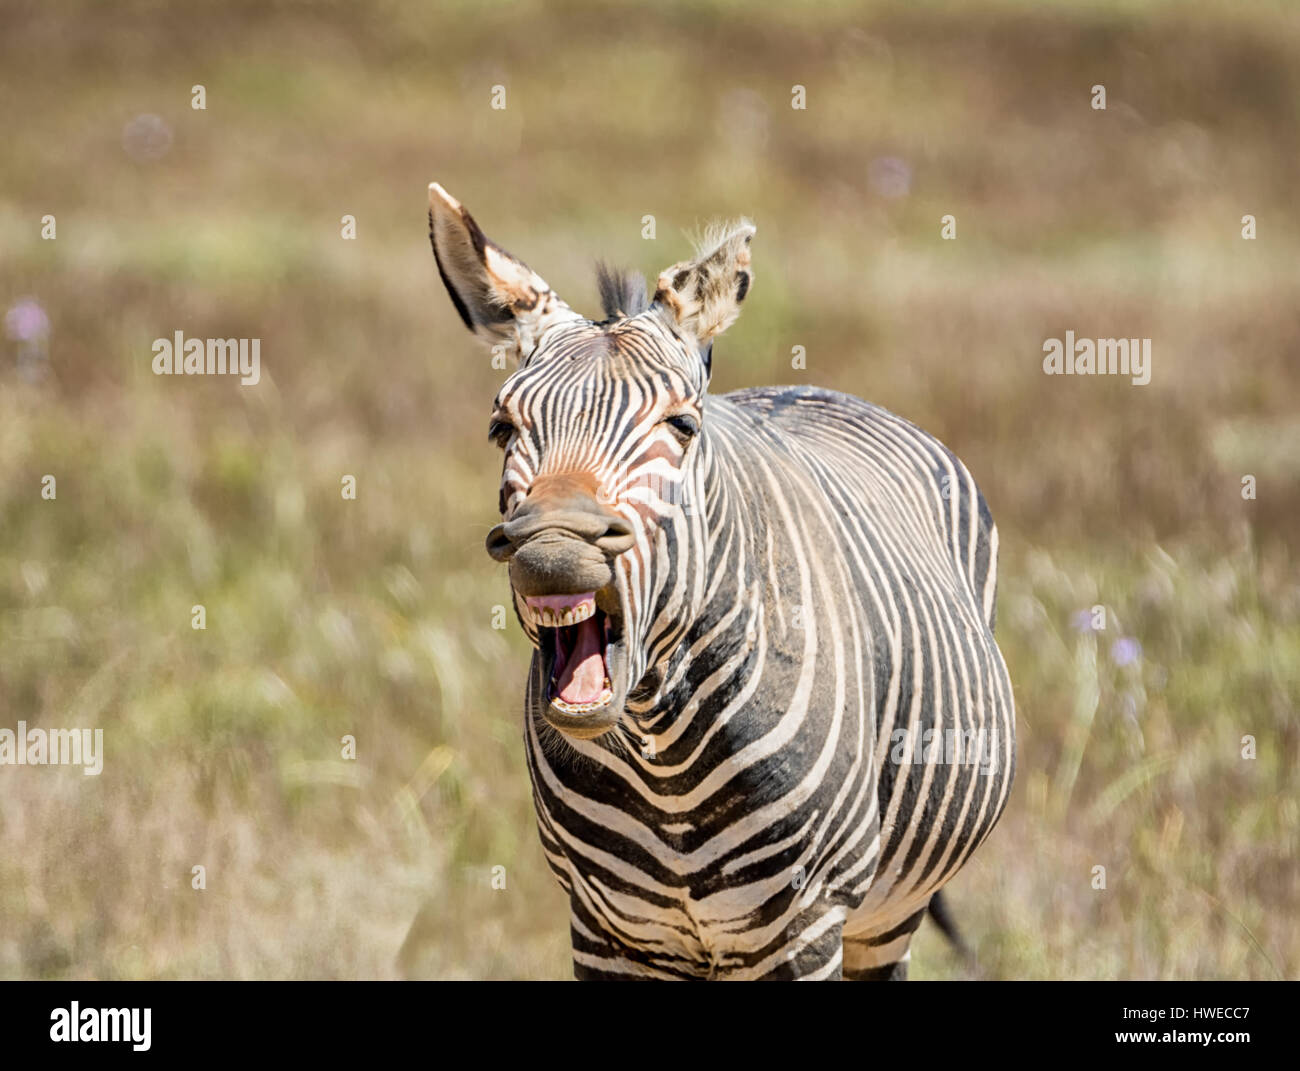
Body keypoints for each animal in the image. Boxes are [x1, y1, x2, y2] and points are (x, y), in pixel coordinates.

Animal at [428, 182, 1016, 980]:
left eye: (681, 426)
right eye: (501, 429)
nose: (553, 549)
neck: (662, 760)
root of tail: (808, 386)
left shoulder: (808, 925)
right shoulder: (601, 929)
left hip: (888, 915)